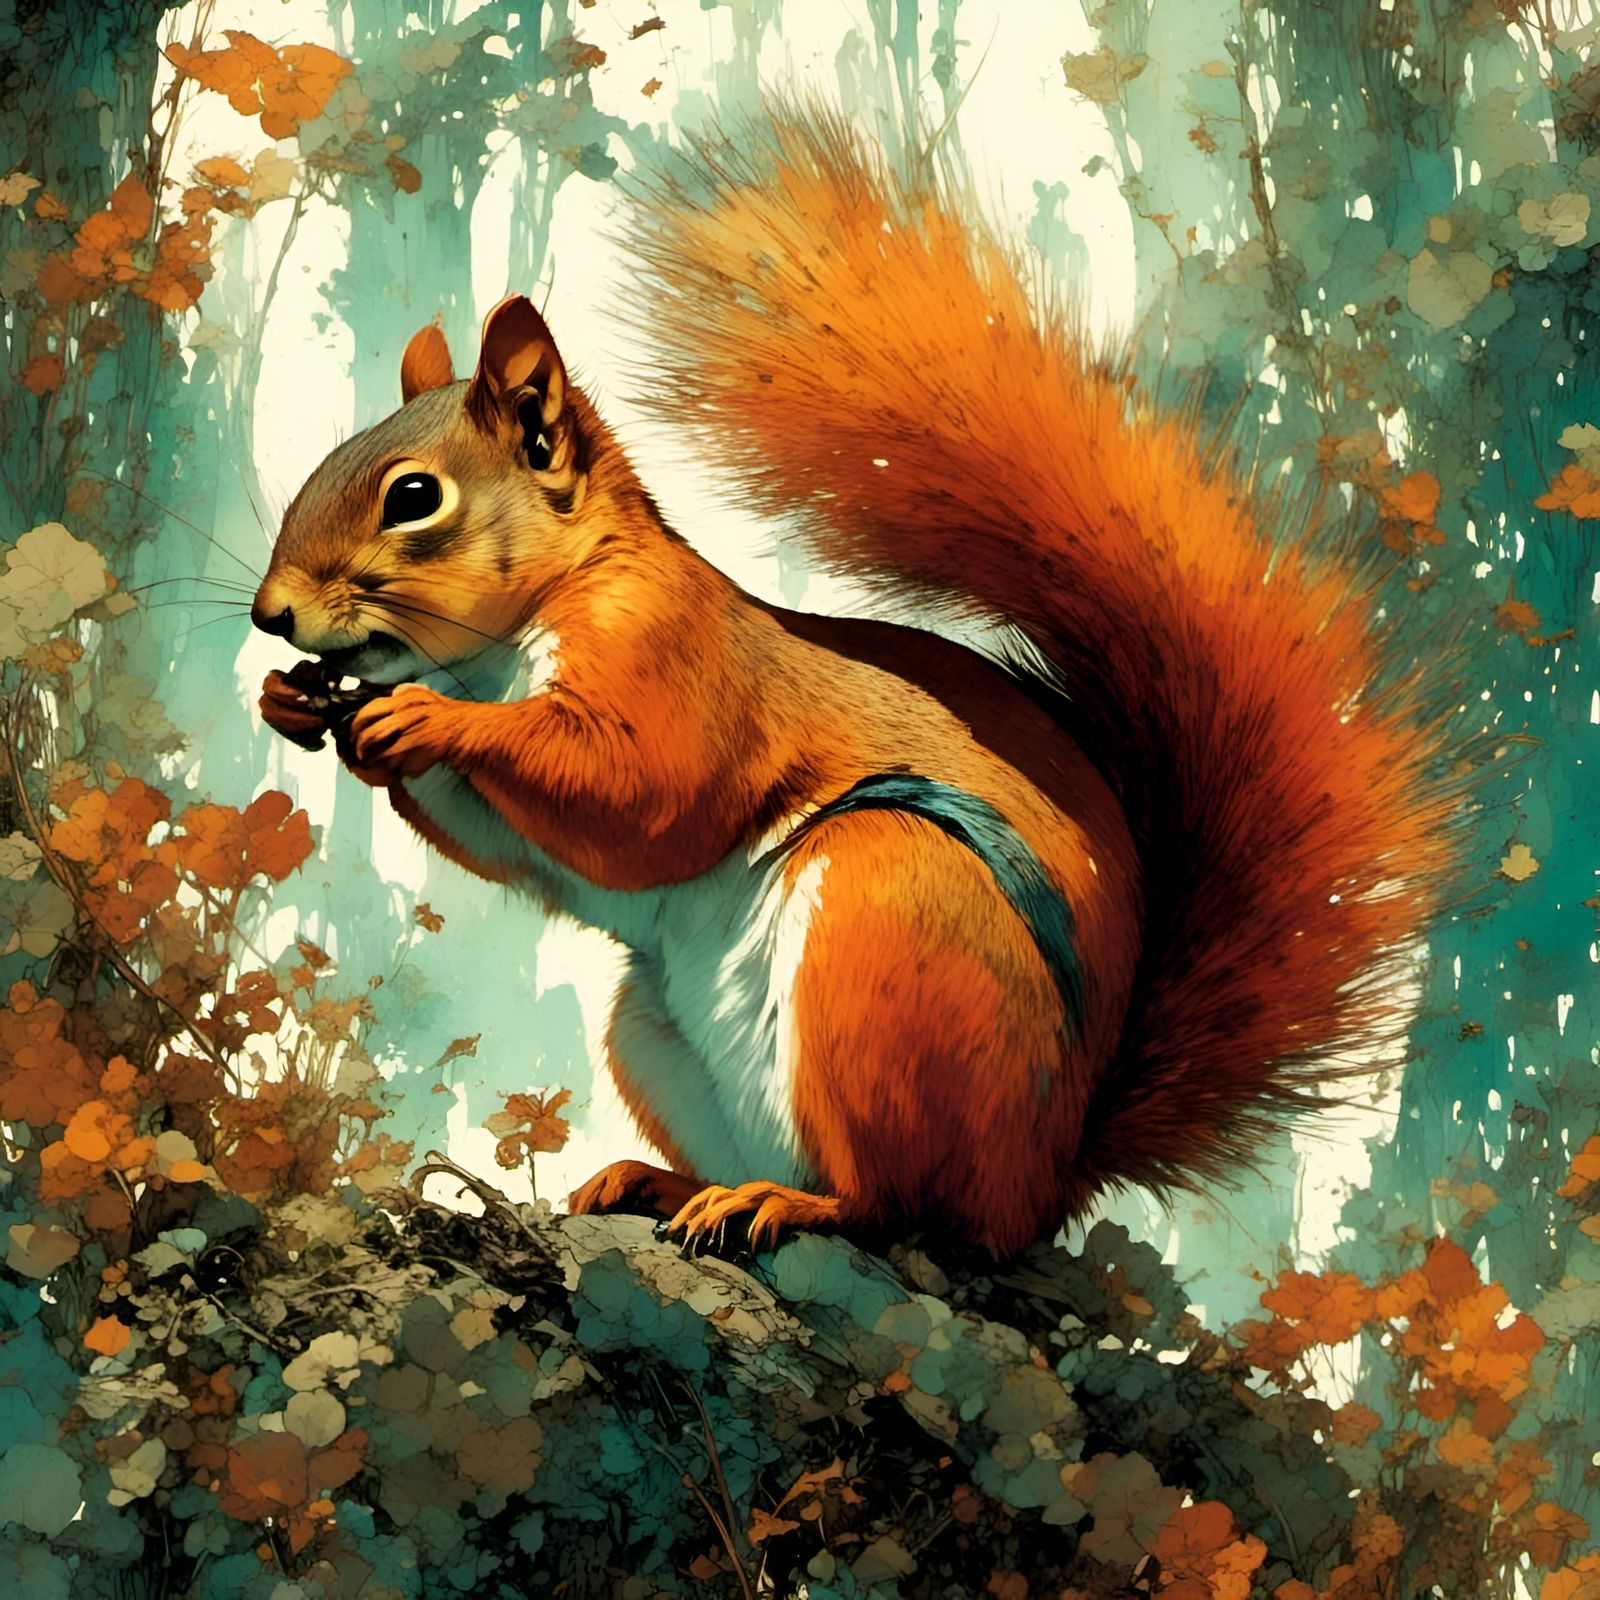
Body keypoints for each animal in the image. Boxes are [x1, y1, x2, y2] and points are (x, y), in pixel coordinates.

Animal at [253, 104, 1466, 1258]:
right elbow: (530, 854)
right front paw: (297, 705)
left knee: (903, 1206)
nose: (271, 617)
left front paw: (426, 720)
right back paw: (662, 1184)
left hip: (887, 918)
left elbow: (641, 797)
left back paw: (791, 1205)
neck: (515, 637)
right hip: (657, 1029)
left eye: (414, 496)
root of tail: (1049, 1182)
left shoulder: (678, 661)